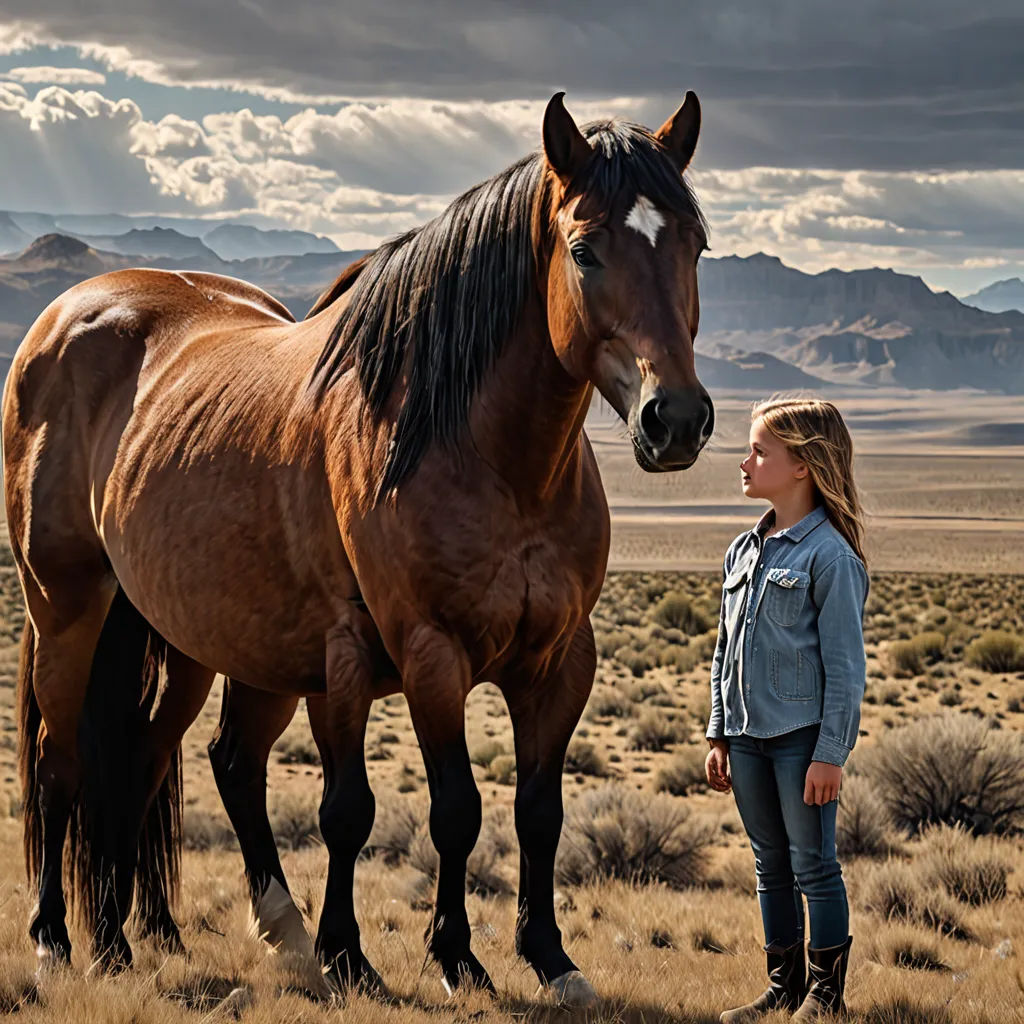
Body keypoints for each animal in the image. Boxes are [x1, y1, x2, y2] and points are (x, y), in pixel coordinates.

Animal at [5, 91, 712, 1005]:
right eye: (585, 249)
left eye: (694, 245)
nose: (677, 419)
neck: (488, 457)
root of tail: (65, 315)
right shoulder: (415, 654)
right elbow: (407, 810)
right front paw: (421, 957)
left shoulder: (559, 662)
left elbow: (538, 812)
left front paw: (550, 959)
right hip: (67, 608)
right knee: (62, 763)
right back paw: (62, 940)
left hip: (206, 641)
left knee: (176, 760)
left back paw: (159, 935)